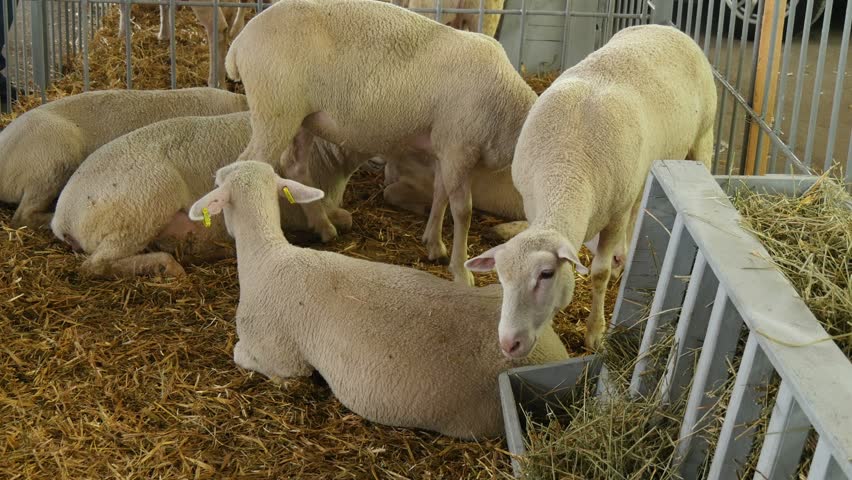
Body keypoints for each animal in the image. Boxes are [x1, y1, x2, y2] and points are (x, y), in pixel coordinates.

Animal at [225, 0, 538, 286]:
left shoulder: (444, 149)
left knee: (294, 165)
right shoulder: (459, 148)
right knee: (246, 165)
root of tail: (239, 42)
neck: (508, 107)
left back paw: (323, 226)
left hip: (304, 117)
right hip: (275, 110)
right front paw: (461, 271)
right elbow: (463, 211)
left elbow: (440, 194)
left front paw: (434, 243)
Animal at [464, 24, 717, 356]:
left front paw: (595, 333)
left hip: (702, 136)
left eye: (545, 274)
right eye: (501, 277)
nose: (509, 343)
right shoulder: (534, 206)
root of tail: (664, 27)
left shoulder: (616, 215)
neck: (567, 168)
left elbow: (599, 273)